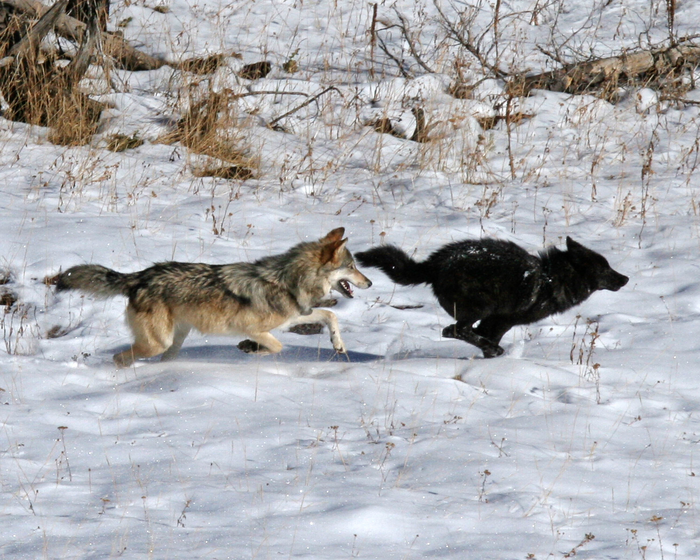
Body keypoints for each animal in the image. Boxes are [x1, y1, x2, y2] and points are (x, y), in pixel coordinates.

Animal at [55, 228, 372, 367]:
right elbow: (277, 347)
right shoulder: (253, 327)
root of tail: (140, 276)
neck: (289, 281)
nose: (369, 282)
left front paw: (338, 344)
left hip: (172, 343)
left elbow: (330, 314)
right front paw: (249, 349)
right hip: (158, 343)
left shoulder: (295, 316)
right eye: (352, 266)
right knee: (119, 358)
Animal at [356, 236, 628, 358]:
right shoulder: (501, 320)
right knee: (452, 330)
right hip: (482, 308)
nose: (625, 278)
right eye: (605, 269)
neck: (553, 278)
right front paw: (493, 354)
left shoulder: (492, 323)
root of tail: (435, 263)